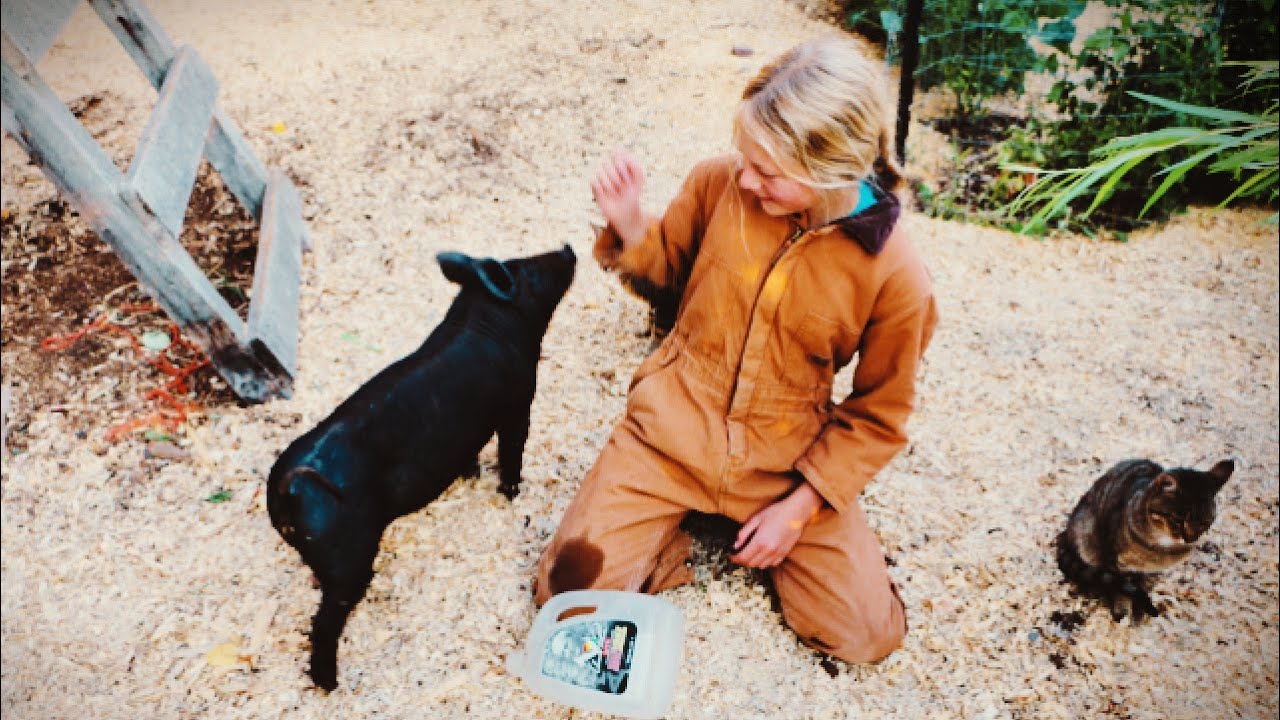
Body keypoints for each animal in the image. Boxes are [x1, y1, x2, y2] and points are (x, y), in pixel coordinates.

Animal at [267, 245, 576, 691]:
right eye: (529, 271)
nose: (568, 248)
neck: (491, 322)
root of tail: (289, 488)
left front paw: (472, 475)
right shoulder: (518, 404)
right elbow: (512, 451)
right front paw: (511, 494)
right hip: (349, 559)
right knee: (325, 622)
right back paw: (331, 684)